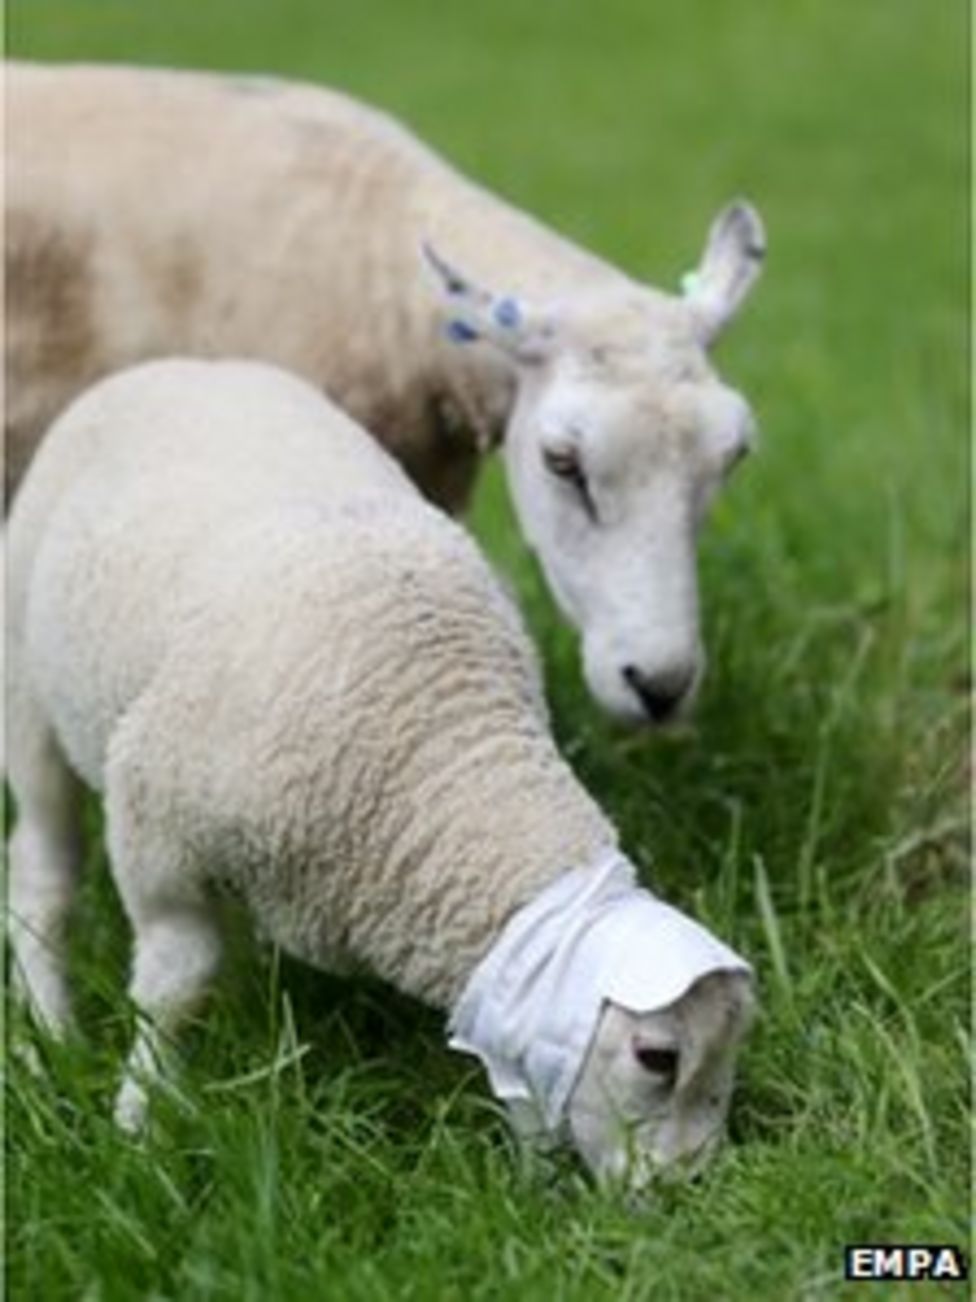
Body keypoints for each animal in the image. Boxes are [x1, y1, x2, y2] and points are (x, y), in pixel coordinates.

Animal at [7, 358, 754, 1187]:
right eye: (658, 1058)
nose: (691, 1188)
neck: (434, 754)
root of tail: (175, 366)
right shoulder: (154, 826)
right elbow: (177, 984)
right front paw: (140, 1126)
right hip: (28, 693)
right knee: (40, 871)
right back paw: (47, 1033)